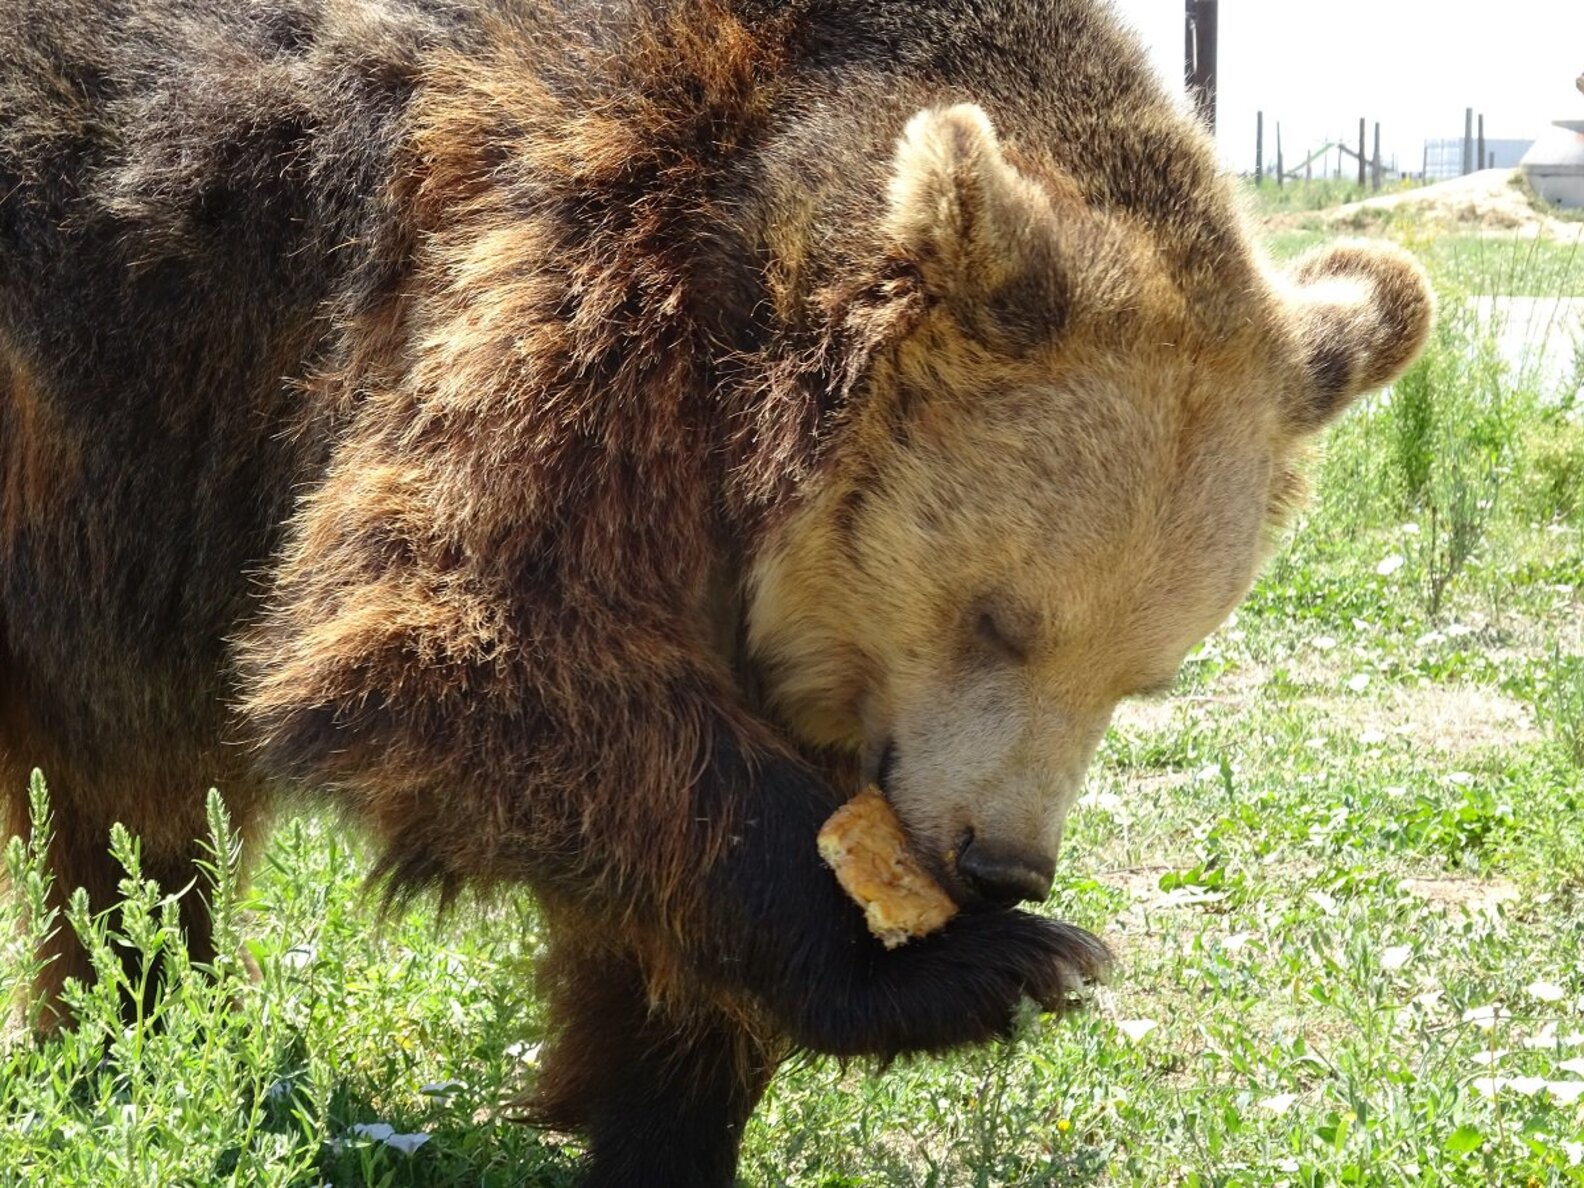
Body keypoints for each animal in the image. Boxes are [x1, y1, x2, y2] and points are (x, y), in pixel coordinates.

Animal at [0, 0, 1431, 1183]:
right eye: (1000, 618)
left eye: (1145, 677)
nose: (1001, 868)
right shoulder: (557, 265)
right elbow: (460, 647)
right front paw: (983, 971)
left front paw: (667, 1113)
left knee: (132, 815)